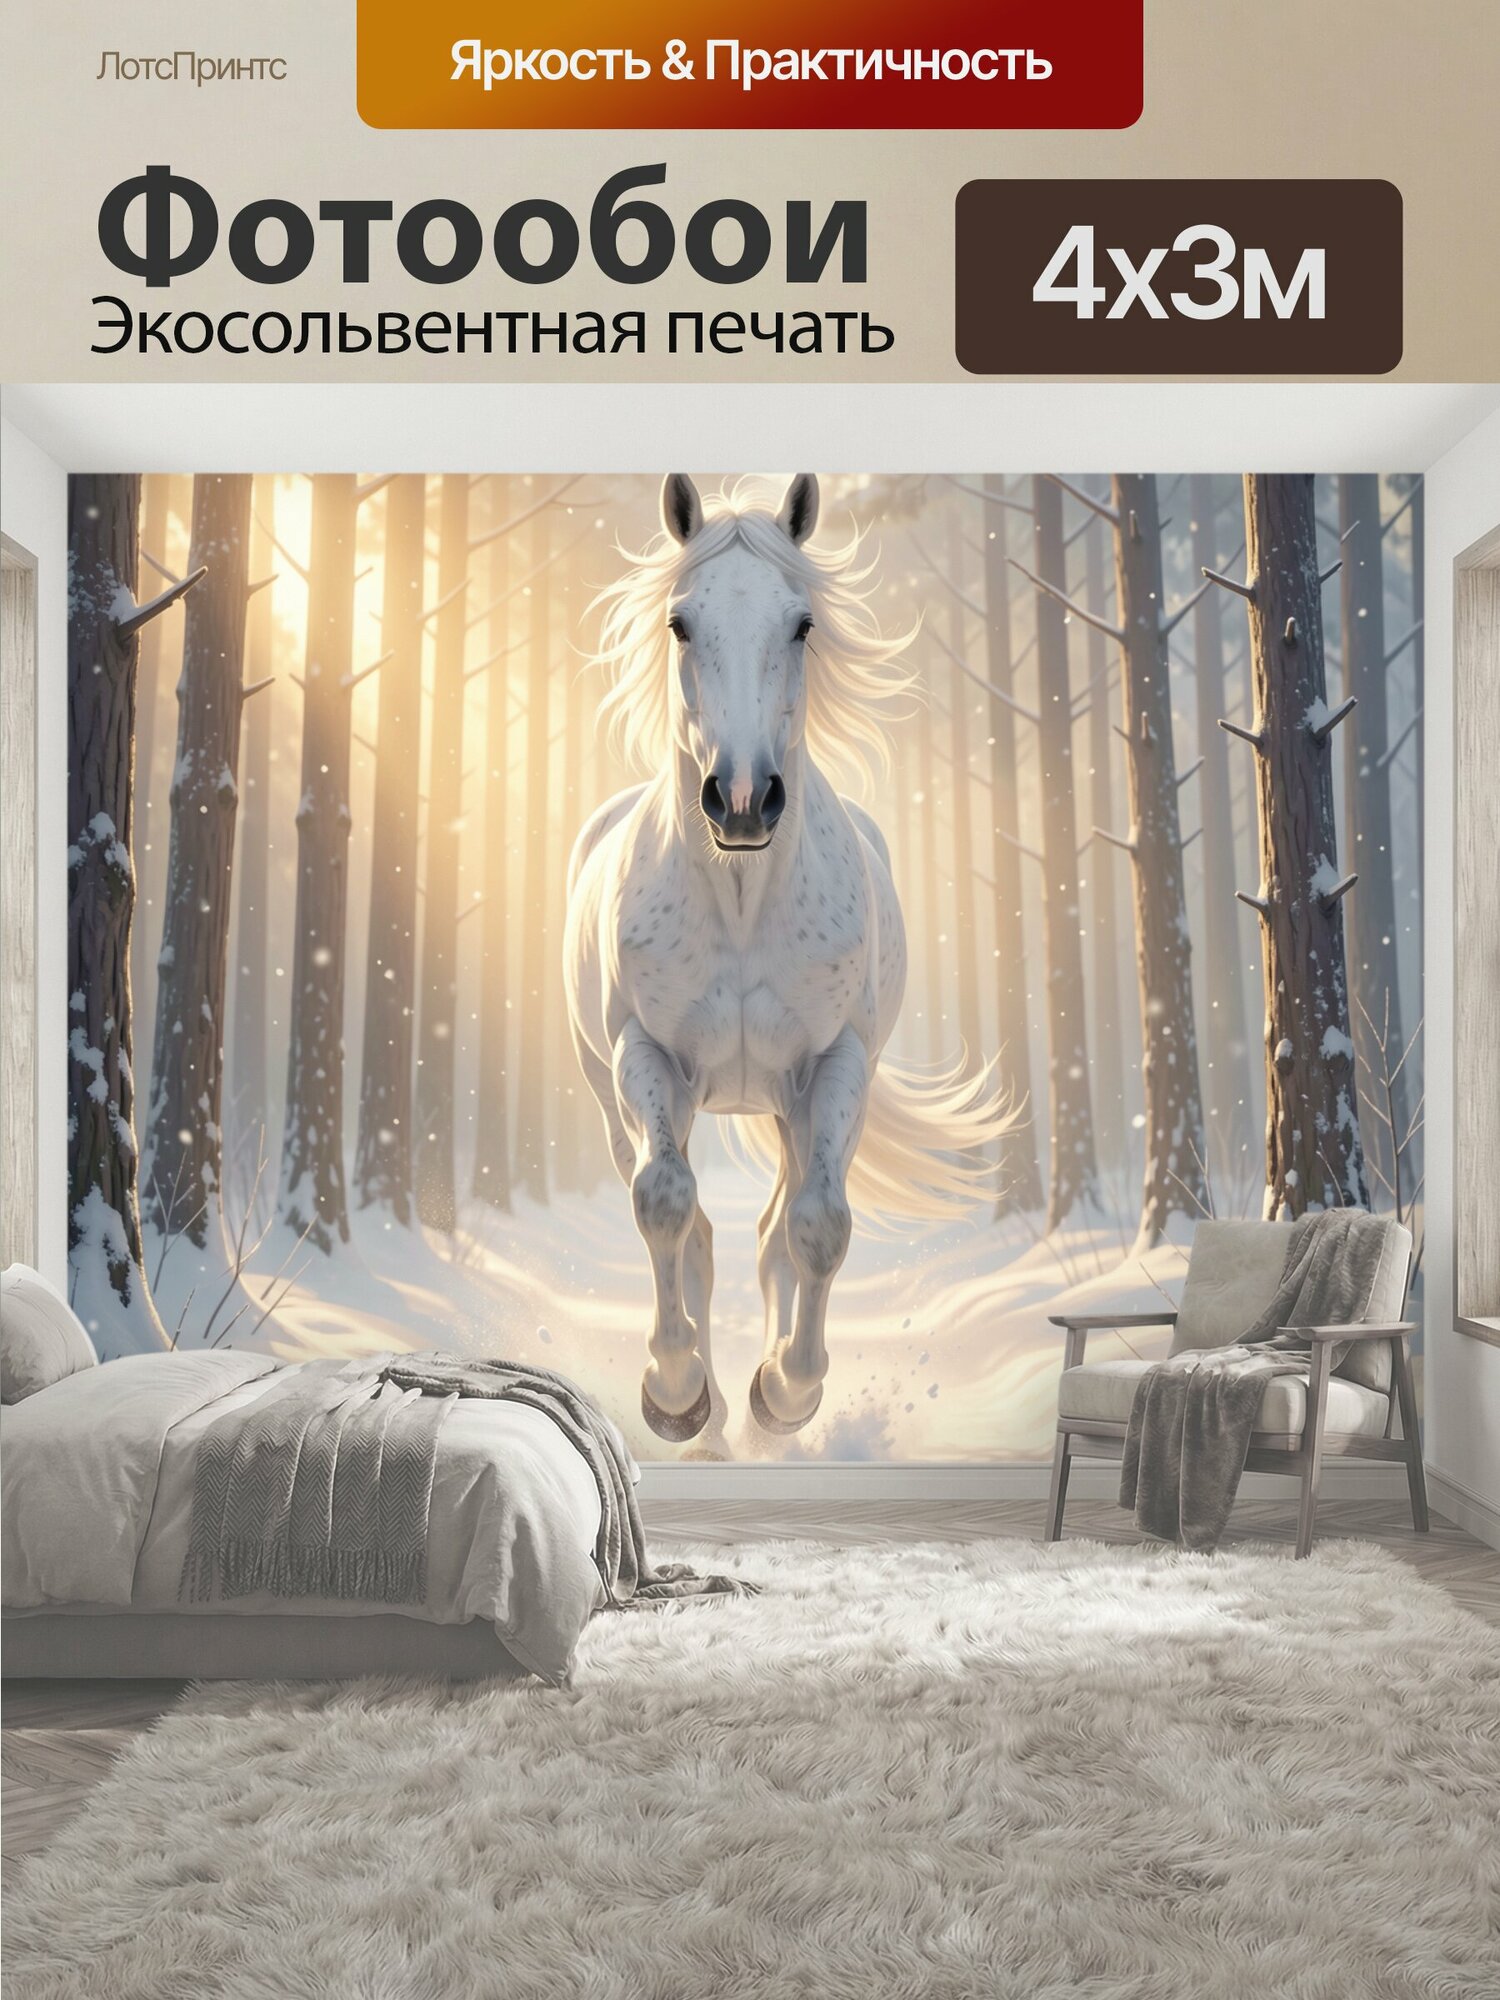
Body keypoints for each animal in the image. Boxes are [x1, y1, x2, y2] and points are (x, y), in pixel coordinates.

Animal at [563, 474, 1013, 1444]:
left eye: (801, 623)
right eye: (680, 622)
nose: (741, 801)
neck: (742, 906)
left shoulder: (834, 1064)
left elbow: (817, 1226)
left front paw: (785, 1391)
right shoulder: (644, 1058)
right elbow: (667, 1205)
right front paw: (677, 1394)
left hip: (785, 1105)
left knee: (779, 1221)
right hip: (620, 1095)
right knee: (687, 1222)